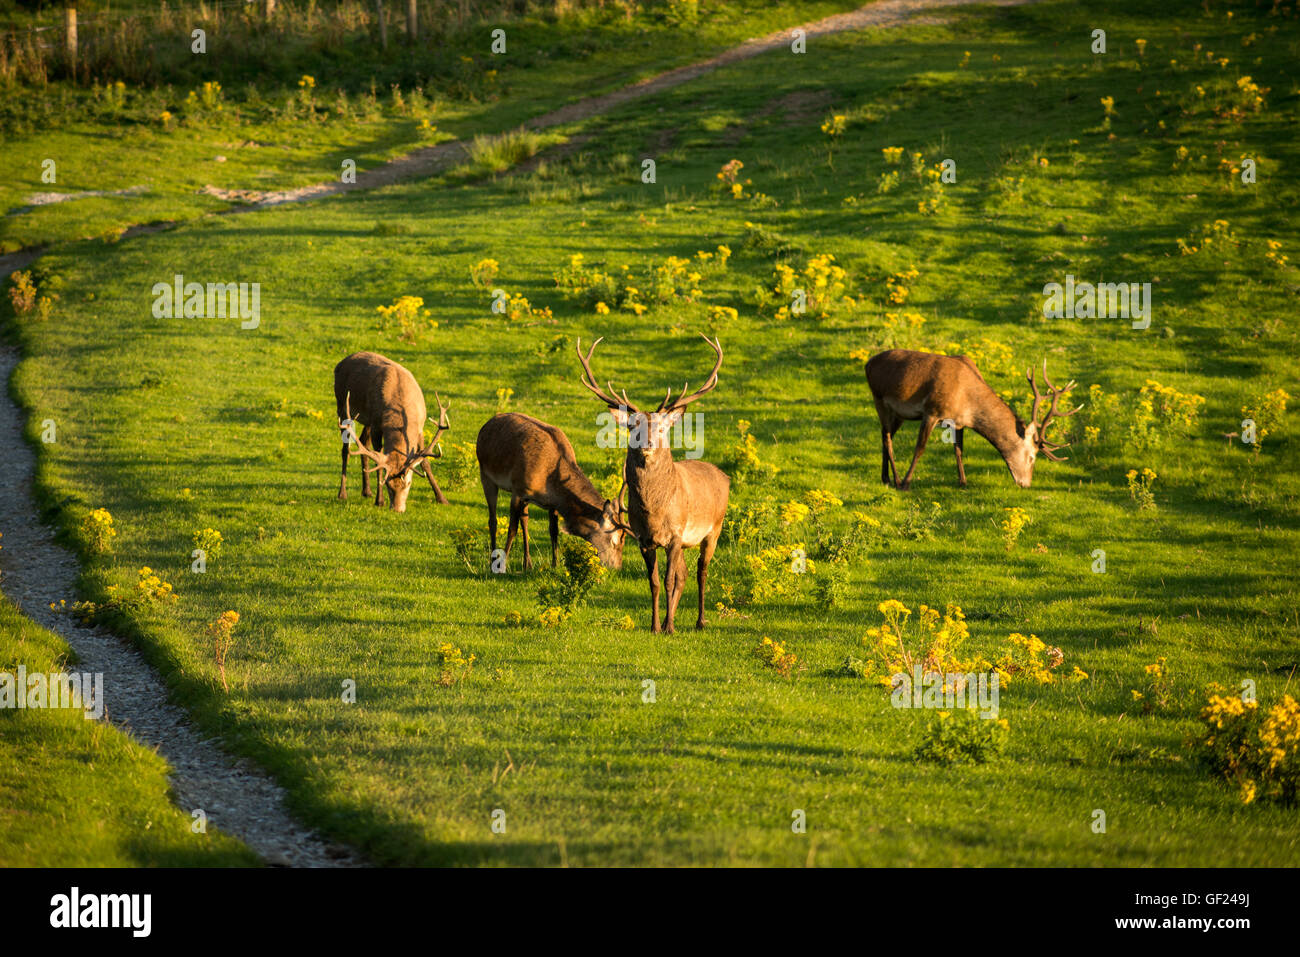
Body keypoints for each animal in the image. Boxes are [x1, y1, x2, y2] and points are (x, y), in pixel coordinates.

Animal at [334, 351, 450, 513]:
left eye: (408, 484)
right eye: (388, 485)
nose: (397, 509)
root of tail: (341, 362)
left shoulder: (420, 429)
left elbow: (425, 462)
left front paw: (442, 498)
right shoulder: (377, 426)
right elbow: (379, 462)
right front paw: (380, 500)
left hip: (367, 419)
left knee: (363, 442)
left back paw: (367, 491)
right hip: (342, 407)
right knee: (346, 450)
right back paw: (342, 493)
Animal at [476, 412, 629, 571]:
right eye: (614, 541)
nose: (617, 567)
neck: (549, 481)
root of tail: (486, 425)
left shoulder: (551, 502)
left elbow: (553, 530)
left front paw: (555, 564)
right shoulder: (517, 490)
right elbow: (512, 529)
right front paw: (501, 567)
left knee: (525, 520)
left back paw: (527, 564)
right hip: (485, 475)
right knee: (493, 520)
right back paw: (493, 561)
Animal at [576, 334, 730, 634]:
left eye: (661, 427)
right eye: (632, 426)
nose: (646, 443)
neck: (655, 512)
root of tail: (723, 476)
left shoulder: (676, 534)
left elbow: (669, 581)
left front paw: (669, 627)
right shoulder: (644, 540)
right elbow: (656, 582)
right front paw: (655, 625)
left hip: (714, 529)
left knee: (701, 571)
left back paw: (700, 621)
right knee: (684, 574)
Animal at [865, 349, 1081, 490]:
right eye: (1032, 457)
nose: (1026, 484)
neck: (967, 401)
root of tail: (868, 363)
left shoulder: (958, 422)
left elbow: (959, 450)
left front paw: (963, 481)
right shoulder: (931, 412)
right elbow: (920, 449)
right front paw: (907, 483)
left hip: (899, 412)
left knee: (885, 435)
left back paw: (885, 478)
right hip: (878, 398)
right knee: (887, 437)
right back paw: (896, 480)